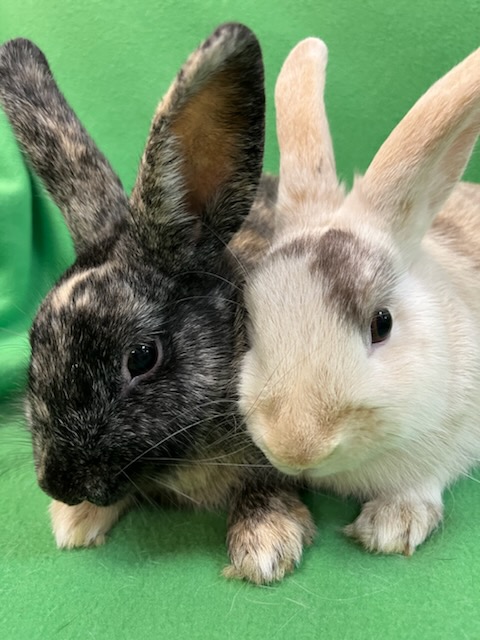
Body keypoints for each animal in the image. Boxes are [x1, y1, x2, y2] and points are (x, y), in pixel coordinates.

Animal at [0, 23, 315, 584]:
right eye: (35, 343)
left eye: (142, 357)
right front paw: (76, 523)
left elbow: (271, 482)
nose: (58, 485)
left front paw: (265, 544)